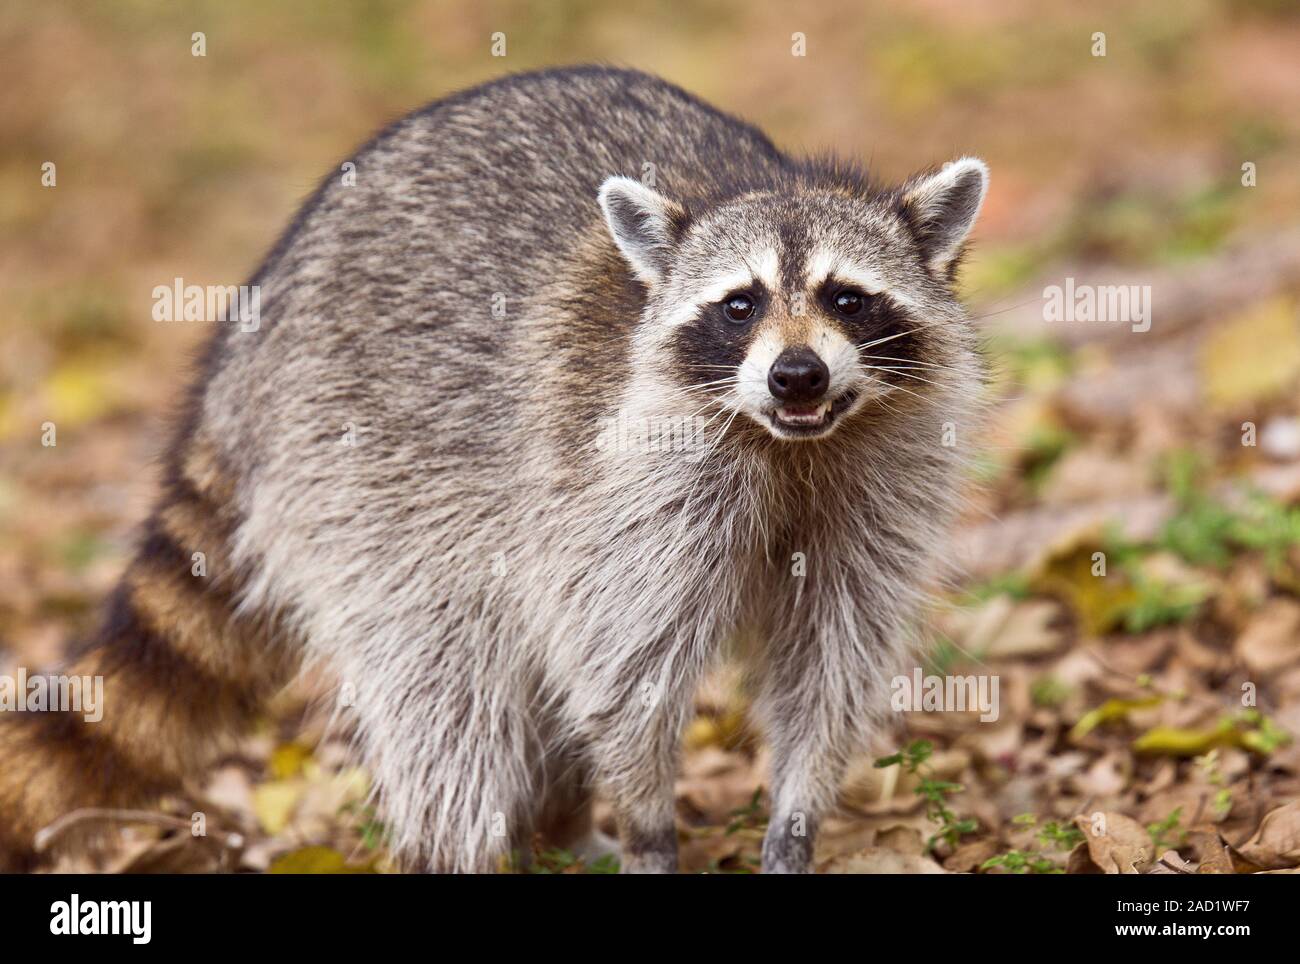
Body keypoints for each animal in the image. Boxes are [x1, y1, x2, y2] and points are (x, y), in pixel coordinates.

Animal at [0, 66, 988, 873]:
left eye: (847, 299)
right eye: (739, 305)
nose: (797, 374)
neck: (792, 447)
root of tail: (249, 335)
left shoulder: (877, 487)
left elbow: (831, 657)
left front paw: (796, 816)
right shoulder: (621, 488)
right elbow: (622, 666)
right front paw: (647, 820)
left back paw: (556, 825)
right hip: (353, 460)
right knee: (443, 677)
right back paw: (468, 843)